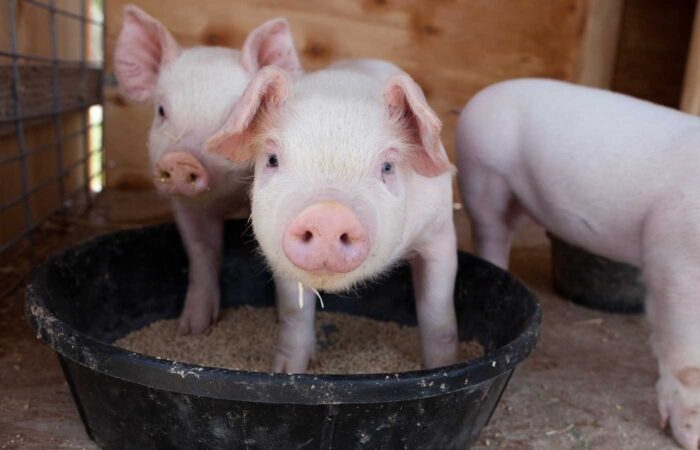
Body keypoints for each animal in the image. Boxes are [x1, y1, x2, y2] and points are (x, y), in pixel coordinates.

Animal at [113, 5, 301, 334]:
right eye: (161, 111)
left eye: (234, 115)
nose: (179, 159)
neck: (226, 201)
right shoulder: (186, 208)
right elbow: (203, 253)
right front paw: (192, 328)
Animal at [205, 59, 459, 373]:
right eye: (272, 160)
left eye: (387, 166)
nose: (328, 215)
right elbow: (294, 314)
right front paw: (286, 372)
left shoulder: (439, 231)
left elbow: (438, 318)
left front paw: (442, 367)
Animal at [456, 78, 700, 449]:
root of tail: (485, 93)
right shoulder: (674, 255)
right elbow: (686, 355)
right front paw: (690, 438)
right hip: (483, 175)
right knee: (490, 233)